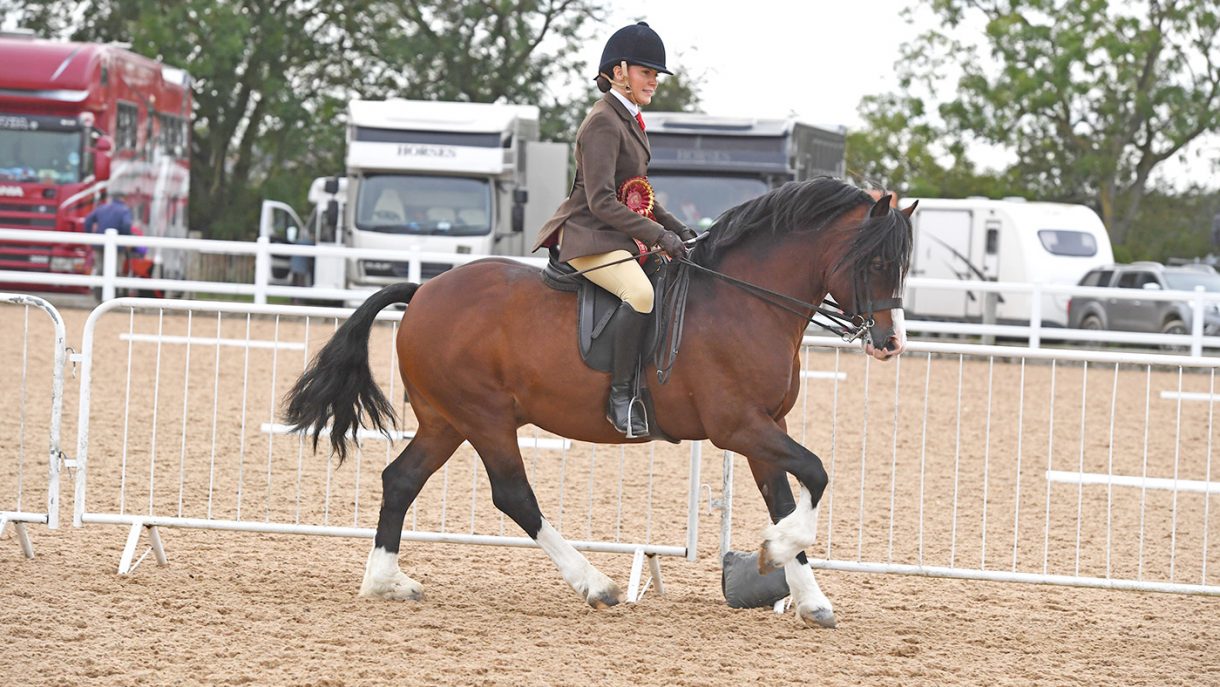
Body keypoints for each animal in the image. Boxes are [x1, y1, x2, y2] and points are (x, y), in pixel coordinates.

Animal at [283, 177, 915, 628]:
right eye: (876, 262)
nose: (890, 344)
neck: (745, 302)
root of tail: (423, 291)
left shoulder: (766, 426)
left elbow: (787, 497)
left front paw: (808, 597)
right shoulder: (738, 425)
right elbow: (816, 473)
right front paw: (771, 552)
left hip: (446, 420)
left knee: (401, 480)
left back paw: (384, 582)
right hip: (484, 418)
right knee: (513, 495)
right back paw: (596, 585)